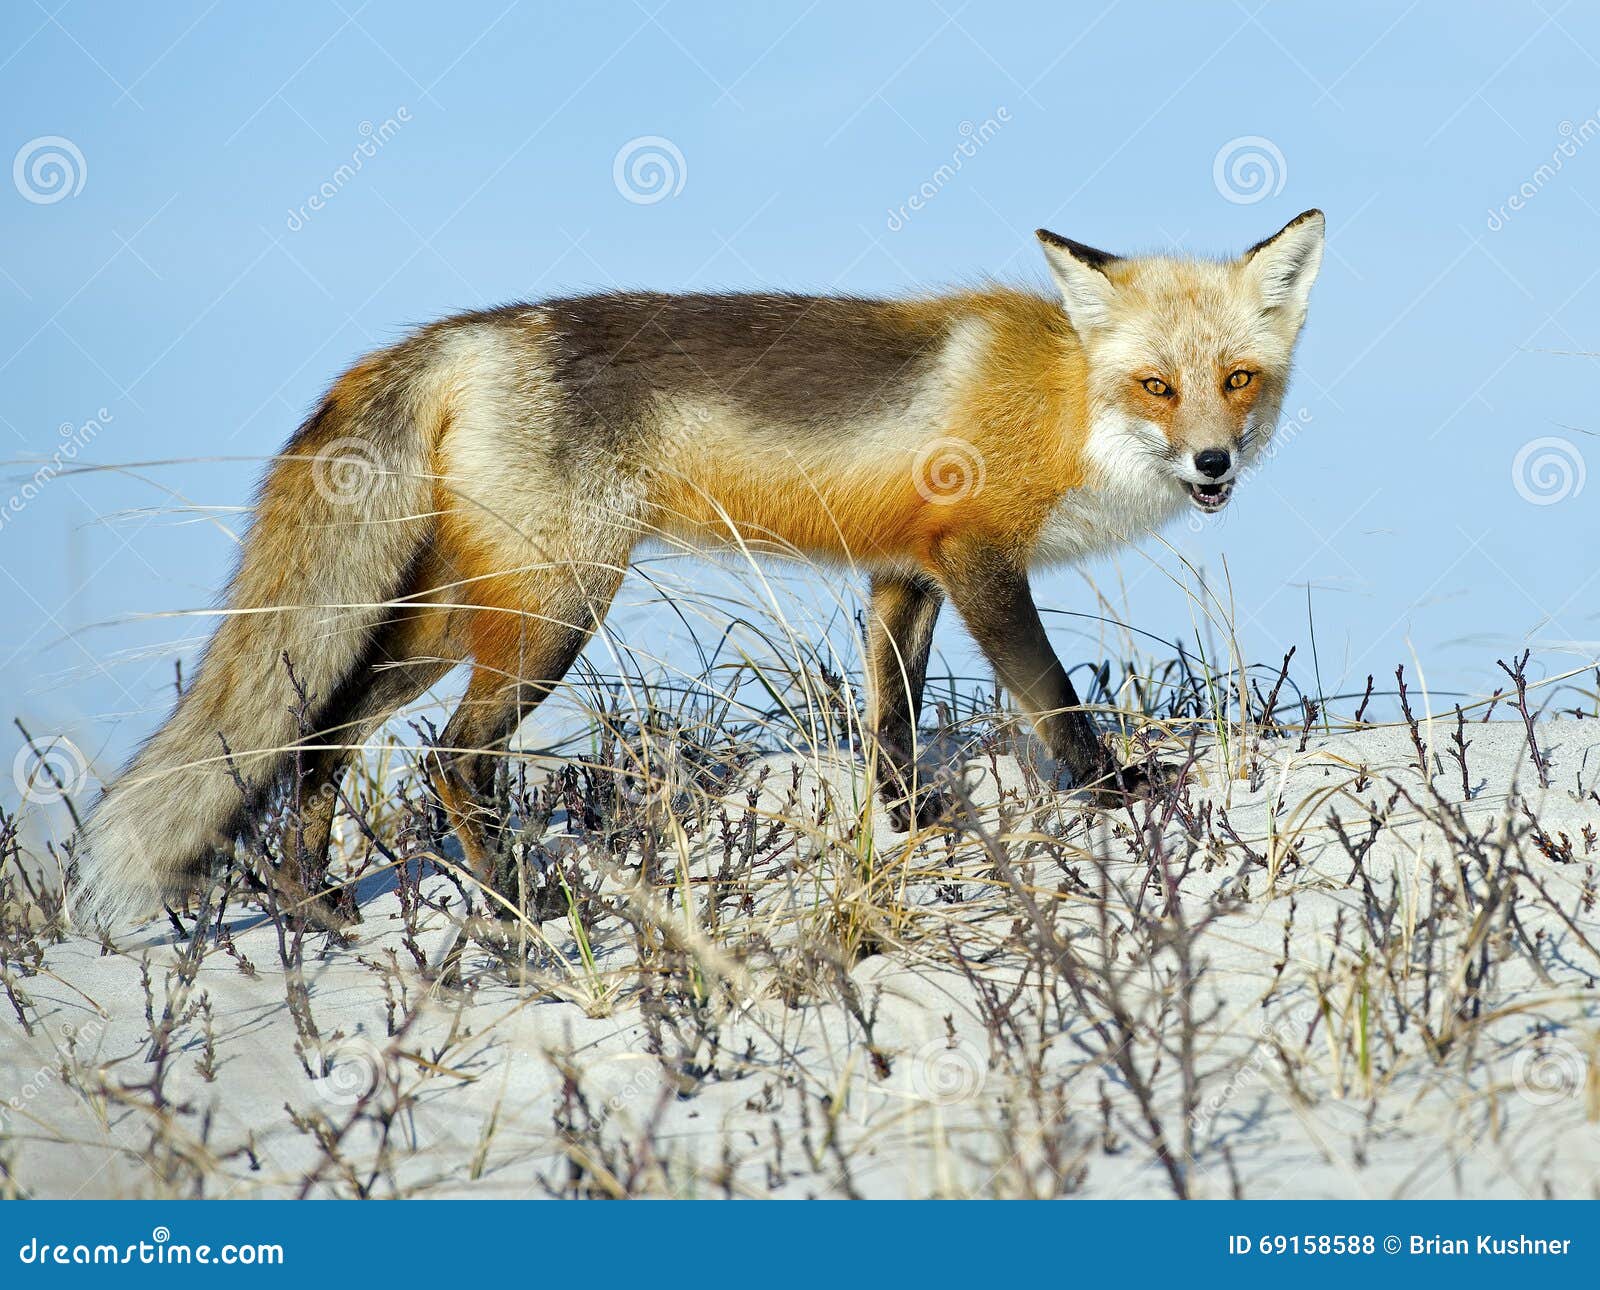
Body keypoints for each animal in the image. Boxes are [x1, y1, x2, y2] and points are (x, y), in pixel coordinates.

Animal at [69, 208, 1324, 931]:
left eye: (1239, 380)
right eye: (1157, 386)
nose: (1214, 463)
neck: (1067, 406)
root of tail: (454, 336)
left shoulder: (904, 572)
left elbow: (890, 713)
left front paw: (908, 821)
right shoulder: (979, 559)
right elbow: (1051, 696)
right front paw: (1113, 794)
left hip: (455, 613)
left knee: (321, 732)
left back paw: (319, 906)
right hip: (553, 610)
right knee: (447, 759)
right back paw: (520, 906)